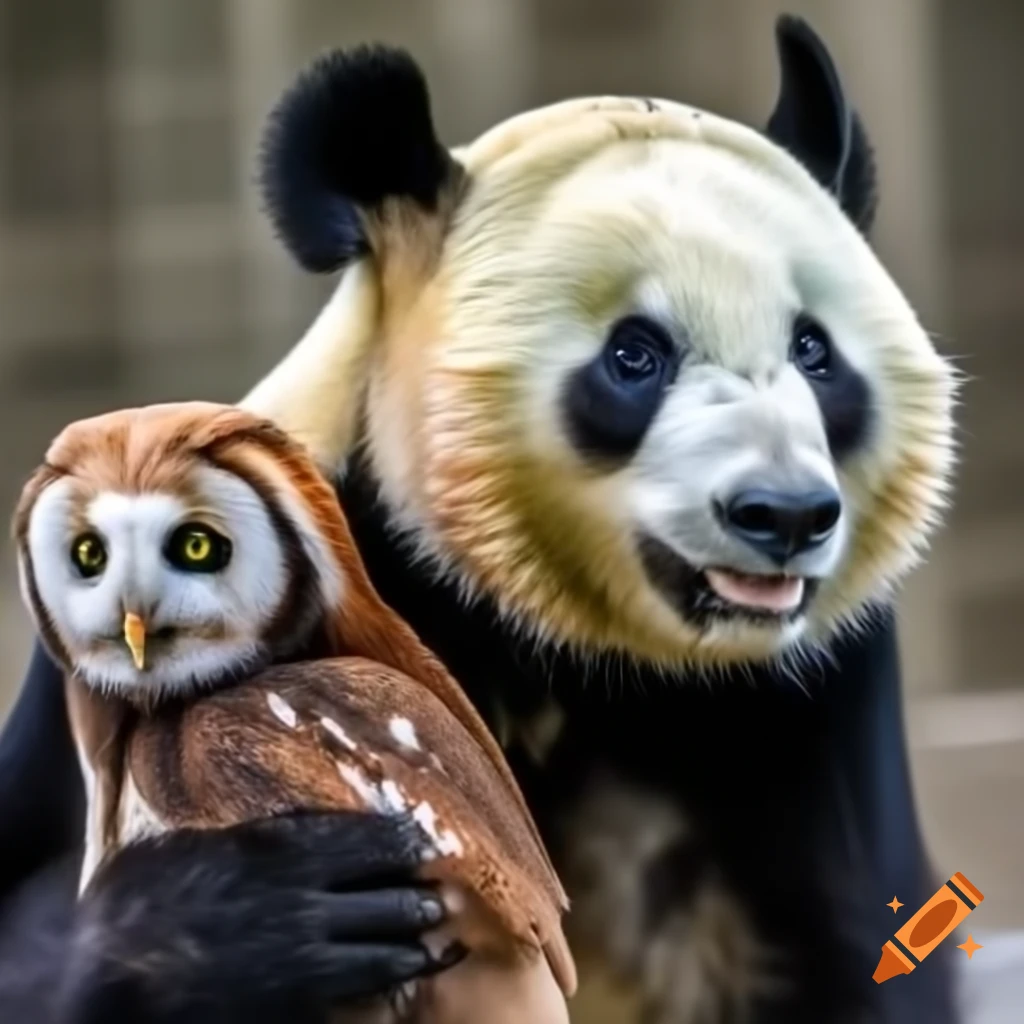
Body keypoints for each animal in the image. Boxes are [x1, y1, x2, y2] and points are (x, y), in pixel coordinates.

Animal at [0, 14, 956, 1024]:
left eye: (814, 351)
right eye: (635, 355)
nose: (783, 516)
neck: (570, 649)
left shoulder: (807, 710)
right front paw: (255, 910)